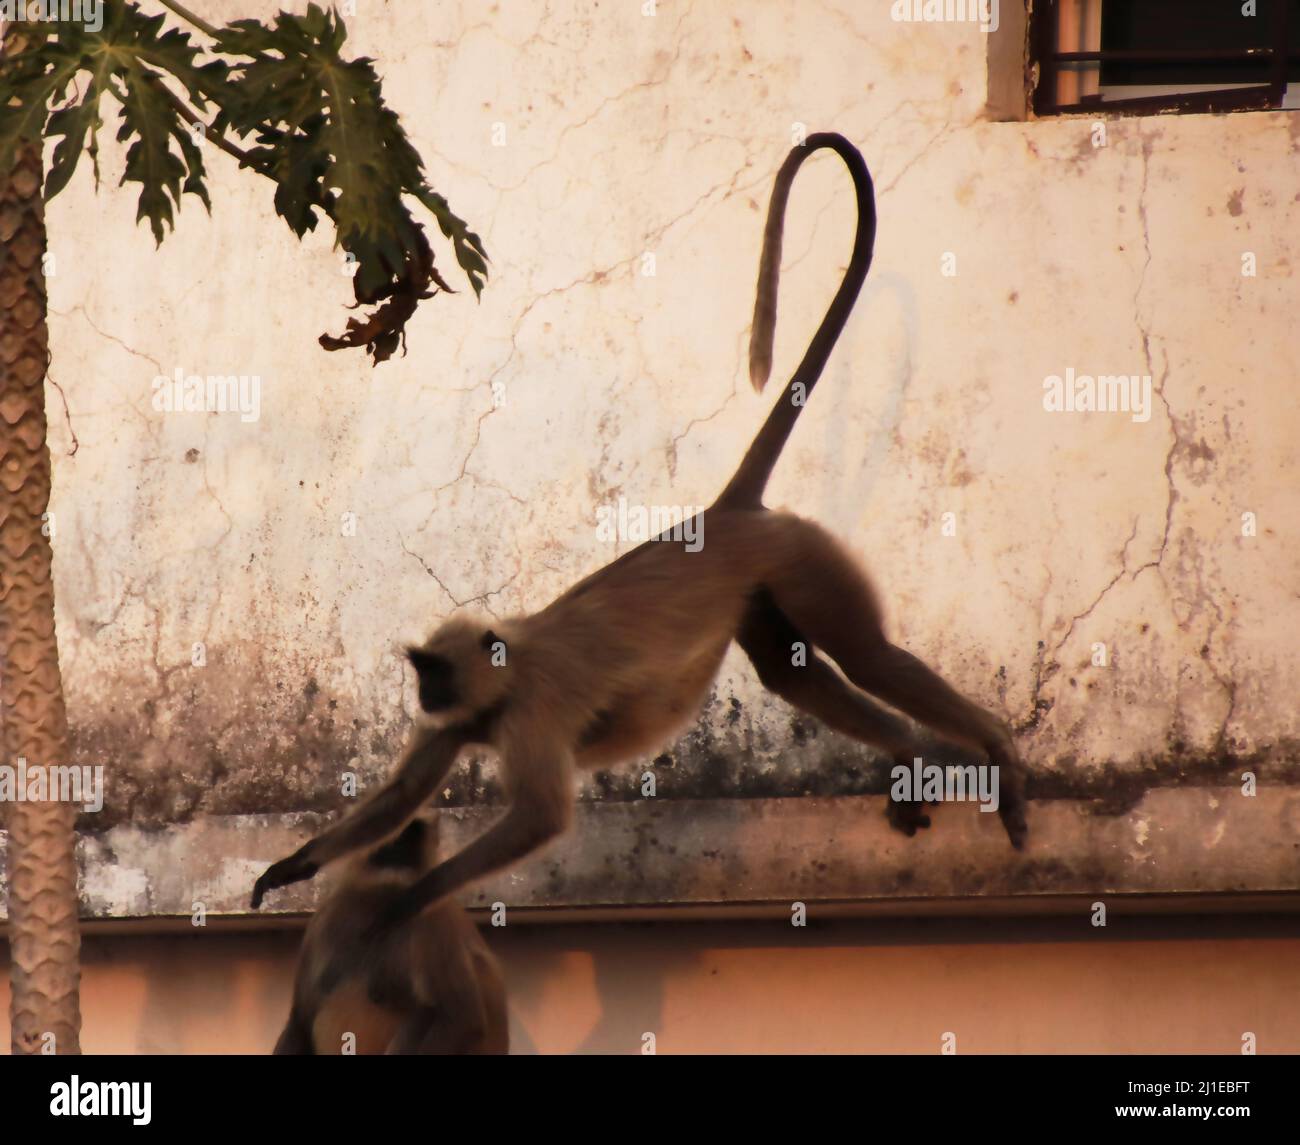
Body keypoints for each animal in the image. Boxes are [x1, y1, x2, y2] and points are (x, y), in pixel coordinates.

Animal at [251, 132, 1029, 950]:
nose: (424, 692)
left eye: (432, 672)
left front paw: (406, 905)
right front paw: (294, 867)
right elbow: (402, 793)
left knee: (868, 655)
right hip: (761, 585)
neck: (508, 668)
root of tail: (725, 513)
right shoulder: (468, 715)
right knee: (794, 675)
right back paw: (910, 751)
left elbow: (540, 819)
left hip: (798, 555)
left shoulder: (529, 709)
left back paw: (999, 754)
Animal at [272, 816, 509, 1054]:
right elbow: (301, 1020)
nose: (397, 844)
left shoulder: (432, 914)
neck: (381, 902)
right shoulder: (325, 918)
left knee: (428, 1009)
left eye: (411, 833)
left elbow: (461, 1019)